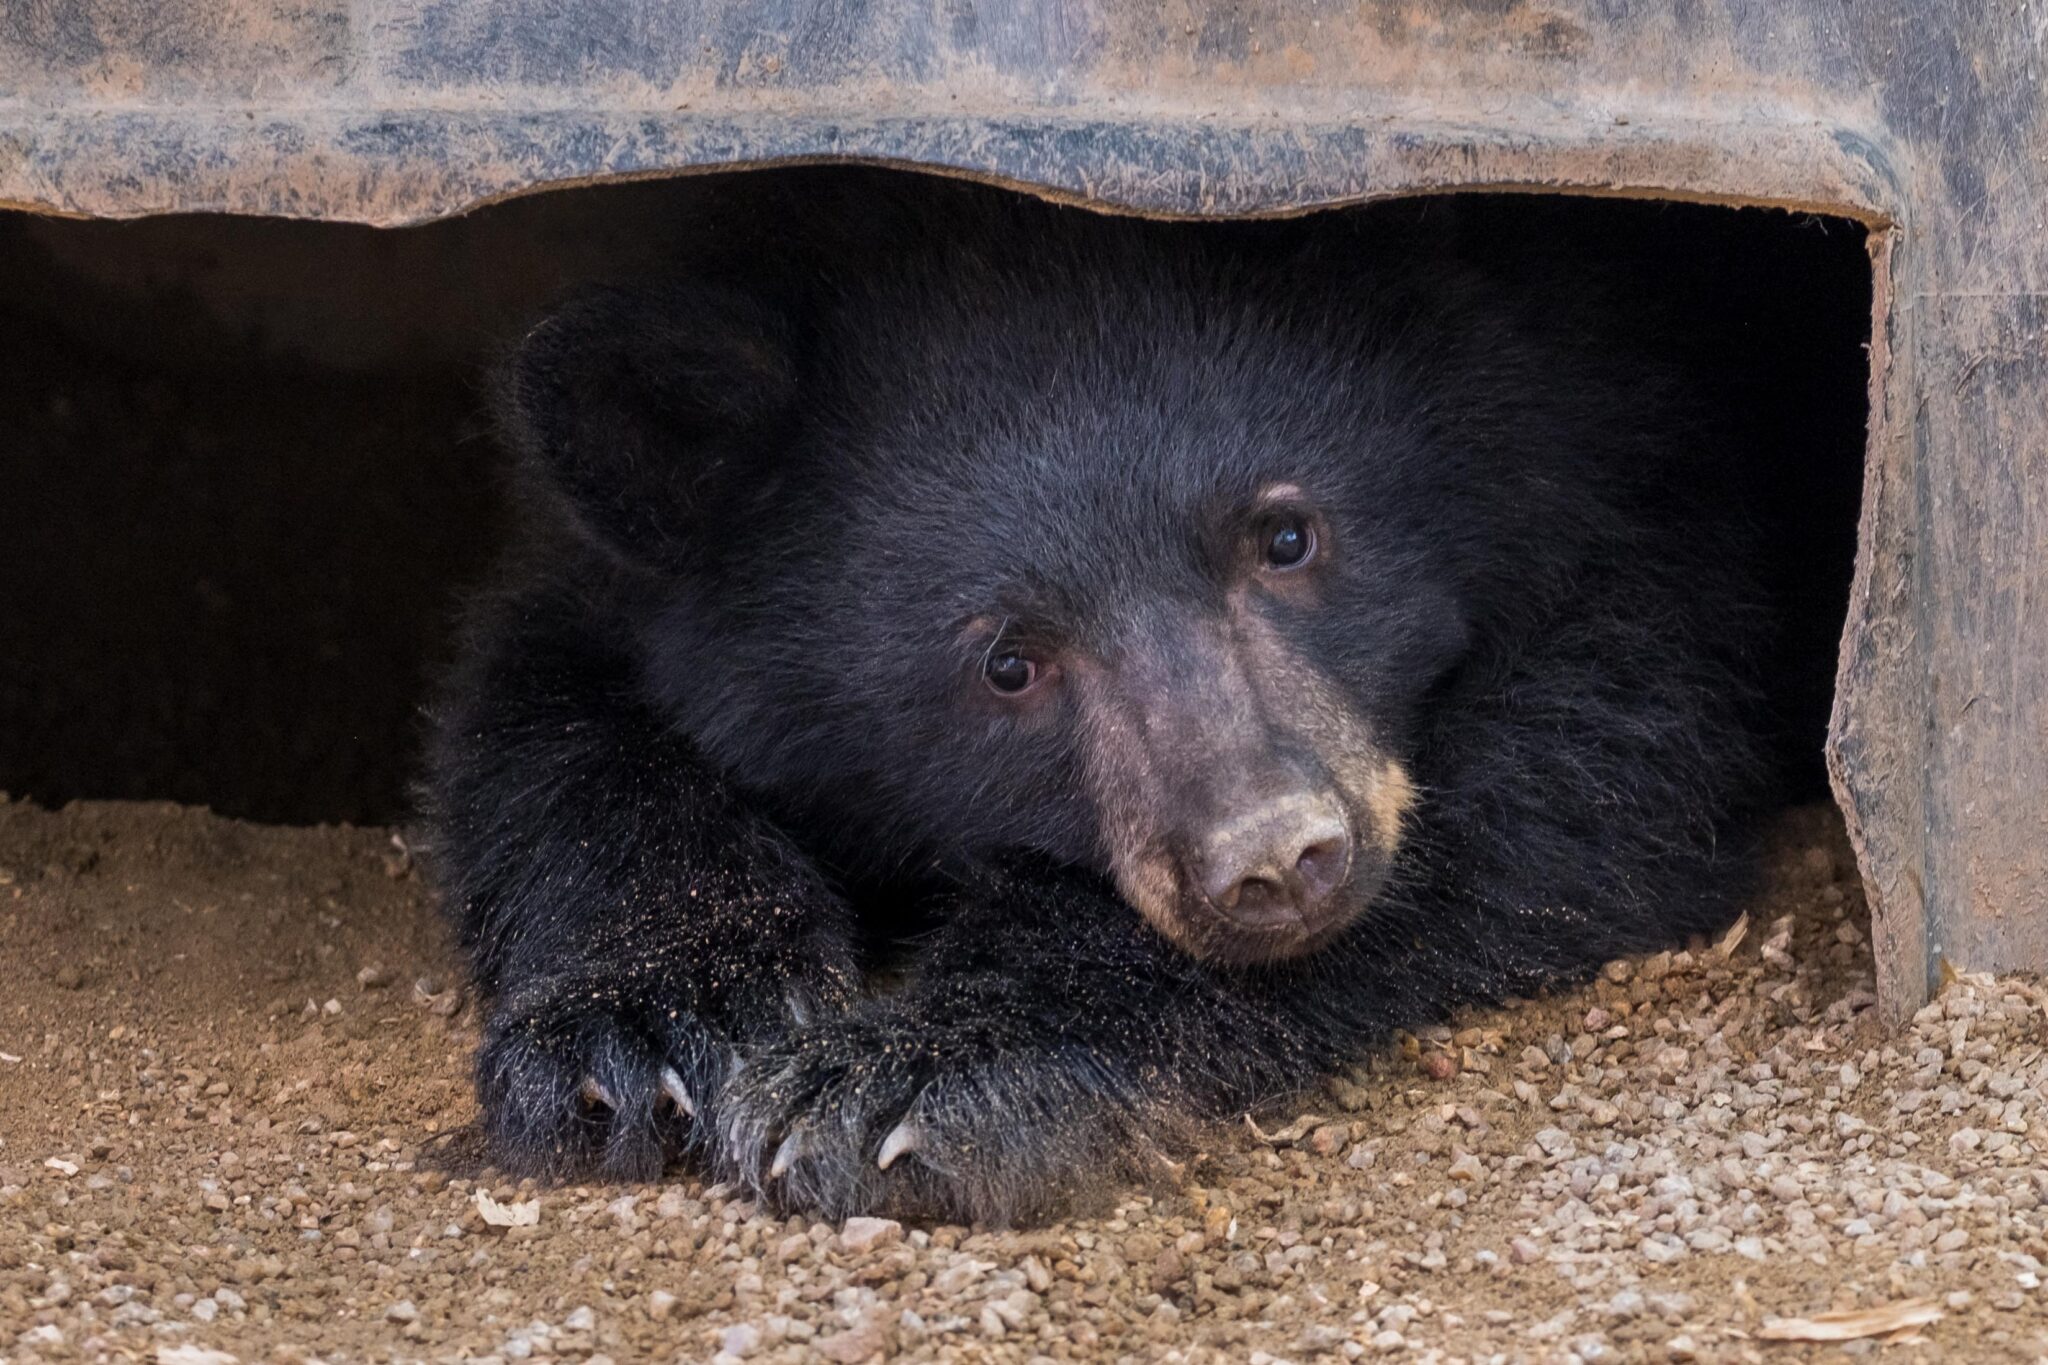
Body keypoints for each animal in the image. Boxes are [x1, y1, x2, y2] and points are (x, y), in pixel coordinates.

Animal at [422, 180, 1777, 1223]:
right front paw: (633, 1036)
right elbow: (545, 726)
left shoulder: (1624, 486)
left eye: (1286, 536)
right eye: (1007, 662)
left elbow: (1593, 761)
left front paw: (905, 1079)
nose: (1277, 860)